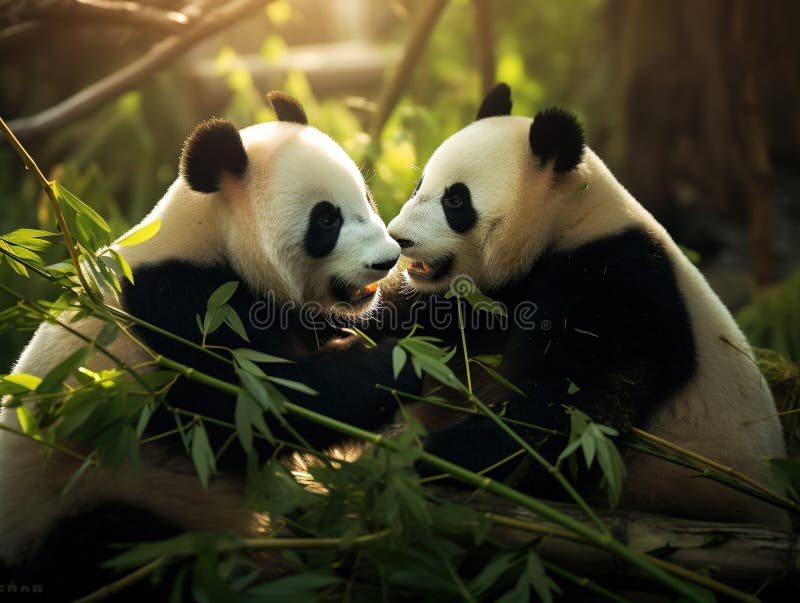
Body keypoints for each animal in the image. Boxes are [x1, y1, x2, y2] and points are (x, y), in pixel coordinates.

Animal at [0, 92, 416, 598]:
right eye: (326, 220)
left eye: (367, 198)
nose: (387, 260)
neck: (208, 231)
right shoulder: (178, 308)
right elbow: (263, 405)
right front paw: (400, 362)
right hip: (92, 493)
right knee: (106, 542)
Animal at [382, 83, 789, 529]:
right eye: (419, 185)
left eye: (456, 201)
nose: (398, 237)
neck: (569, 221)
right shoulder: (483, 297)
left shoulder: (616, 286)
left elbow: (571, 413)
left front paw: (422, 457)